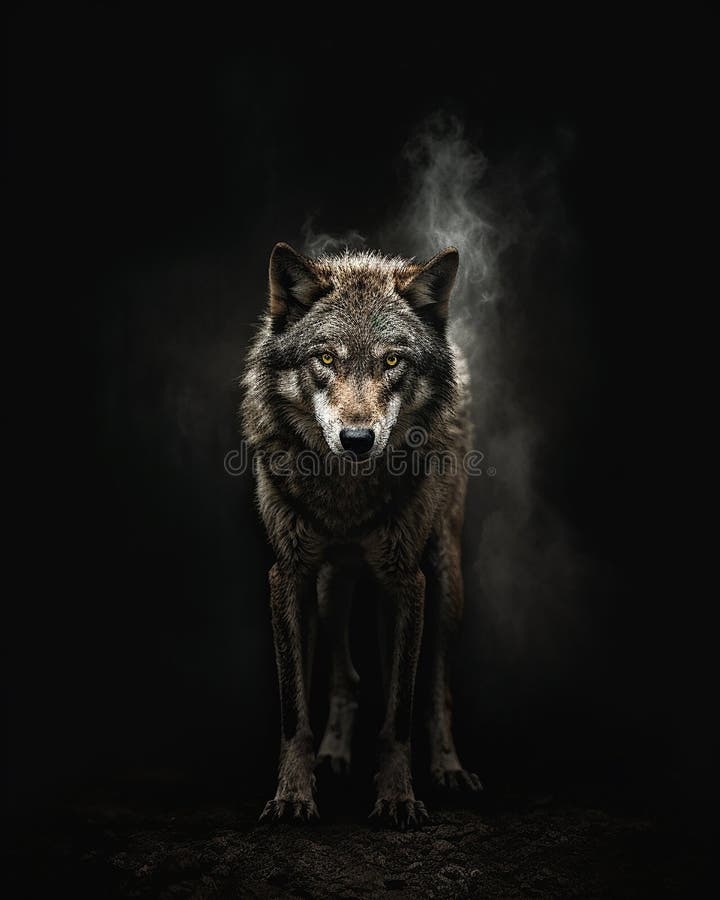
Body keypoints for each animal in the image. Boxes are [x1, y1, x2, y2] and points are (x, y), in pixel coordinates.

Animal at [241, 242, 481, 829]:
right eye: (326, 359)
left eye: (392, 361)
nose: (356, 439)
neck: (345, 498)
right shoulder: (288, 574)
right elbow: (293, 710)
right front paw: (293, 796)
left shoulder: (407, 580)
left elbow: (400, 711)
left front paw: (398, 798)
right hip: (333, 588)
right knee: (345, 678)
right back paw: (334, 754)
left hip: (444, 578)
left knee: (436, 686)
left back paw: (449, 768)